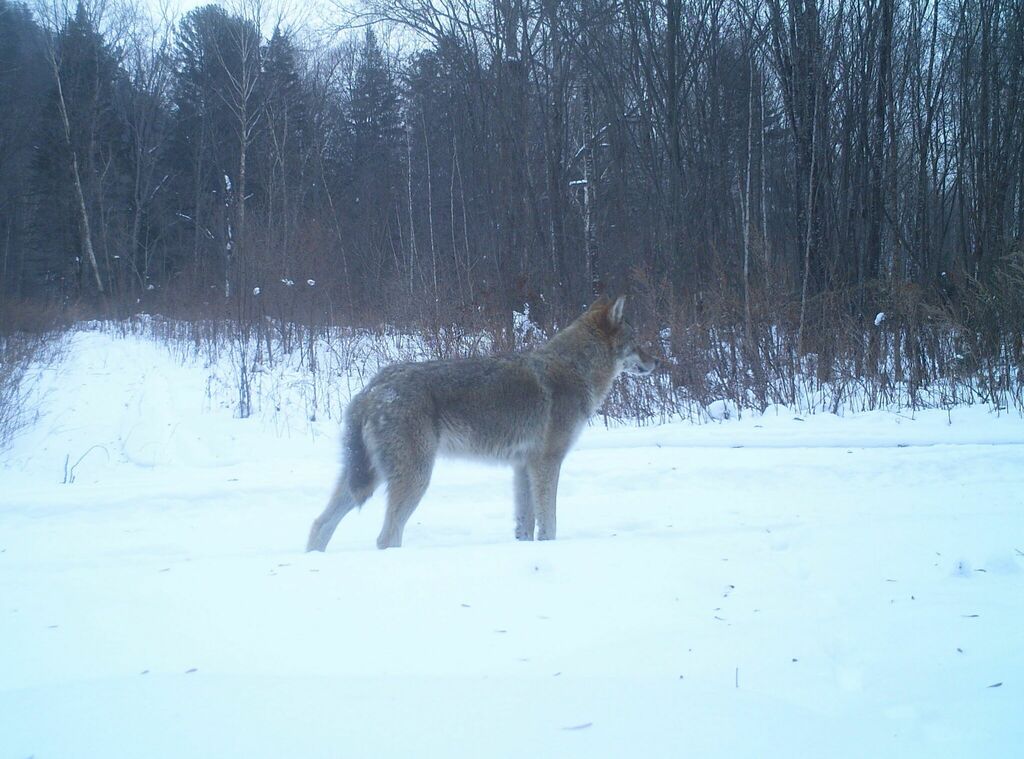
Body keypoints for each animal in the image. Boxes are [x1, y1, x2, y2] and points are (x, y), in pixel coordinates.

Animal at [306, 295, 658, 551]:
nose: (657, 361)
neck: (575, 368)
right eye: (637, 340)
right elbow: (550, 525)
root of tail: (372, 388)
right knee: (386, 537)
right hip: (414, 479)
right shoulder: (547, 463)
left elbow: (525, 526)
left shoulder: (522, 466)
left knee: (319, 524)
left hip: (365, 480)